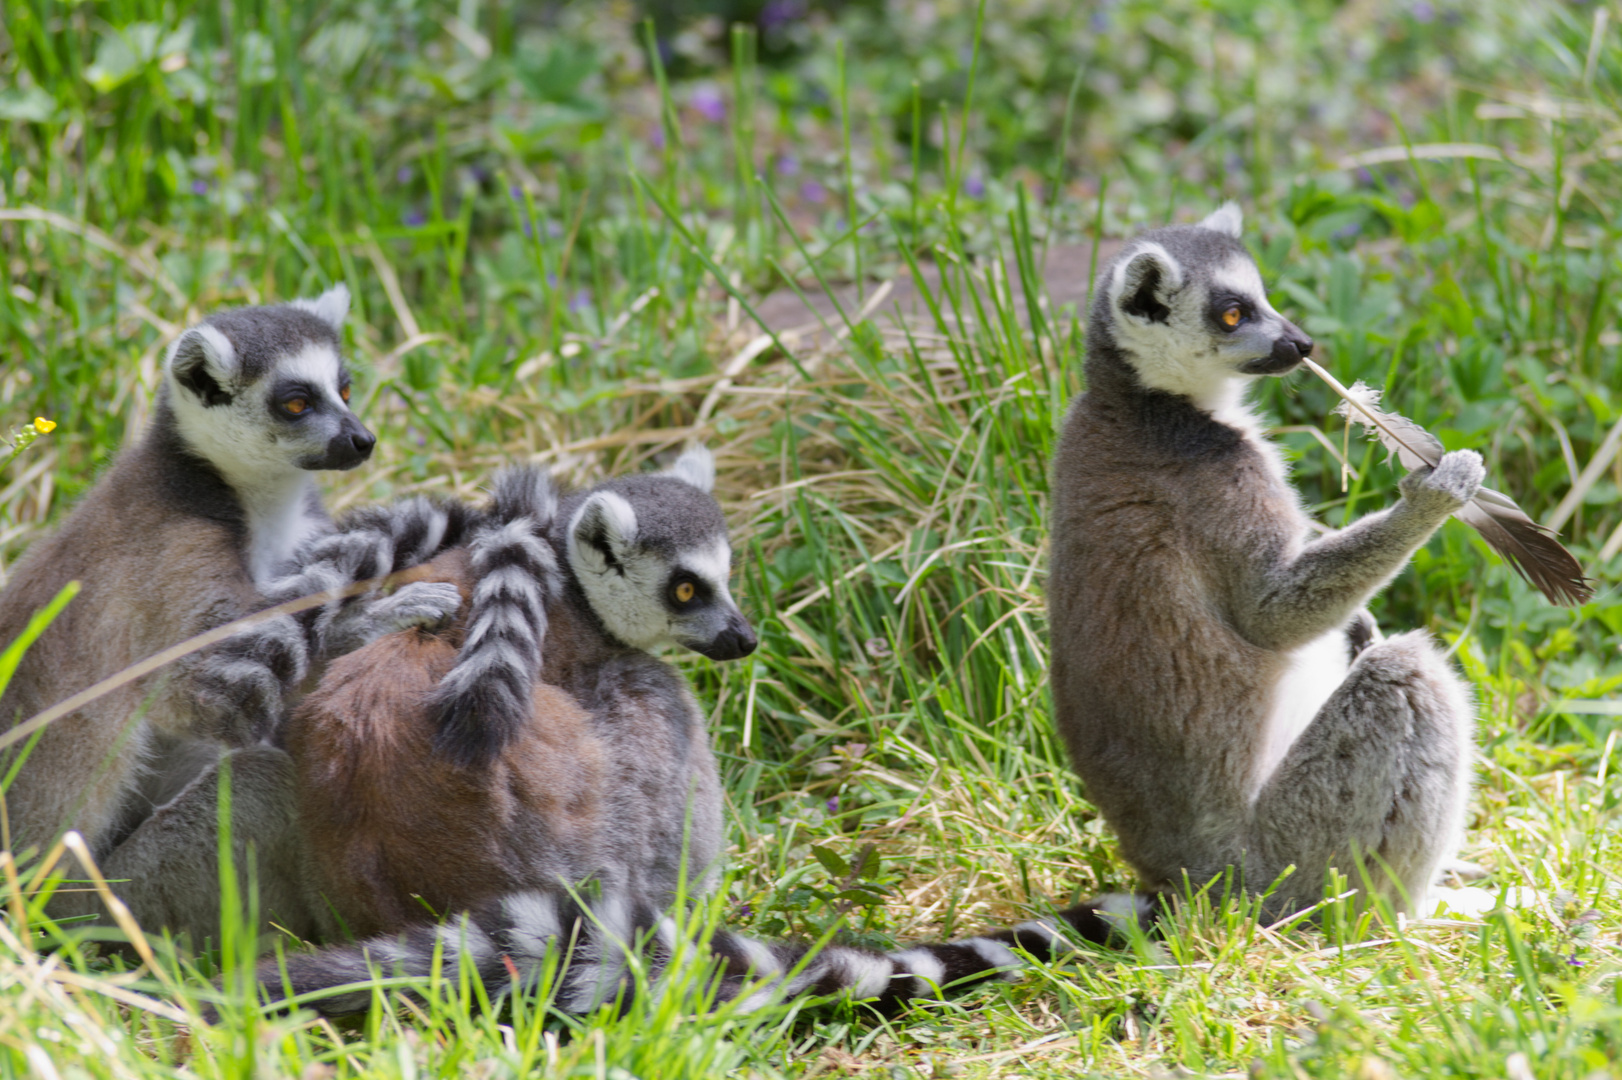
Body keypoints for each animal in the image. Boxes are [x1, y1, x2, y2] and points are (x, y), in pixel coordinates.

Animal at [1043, 204, 1481, 926]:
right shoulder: (1216, 479)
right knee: (1402, 679)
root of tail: (1195, 882)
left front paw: (1361, 623)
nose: (1301, 345)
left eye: (1265, 298)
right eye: (1231, 314)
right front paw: (1430, 498)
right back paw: (1408, 916)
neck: (1143, 398)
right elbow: (1268, 614)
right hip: (1299, 846)